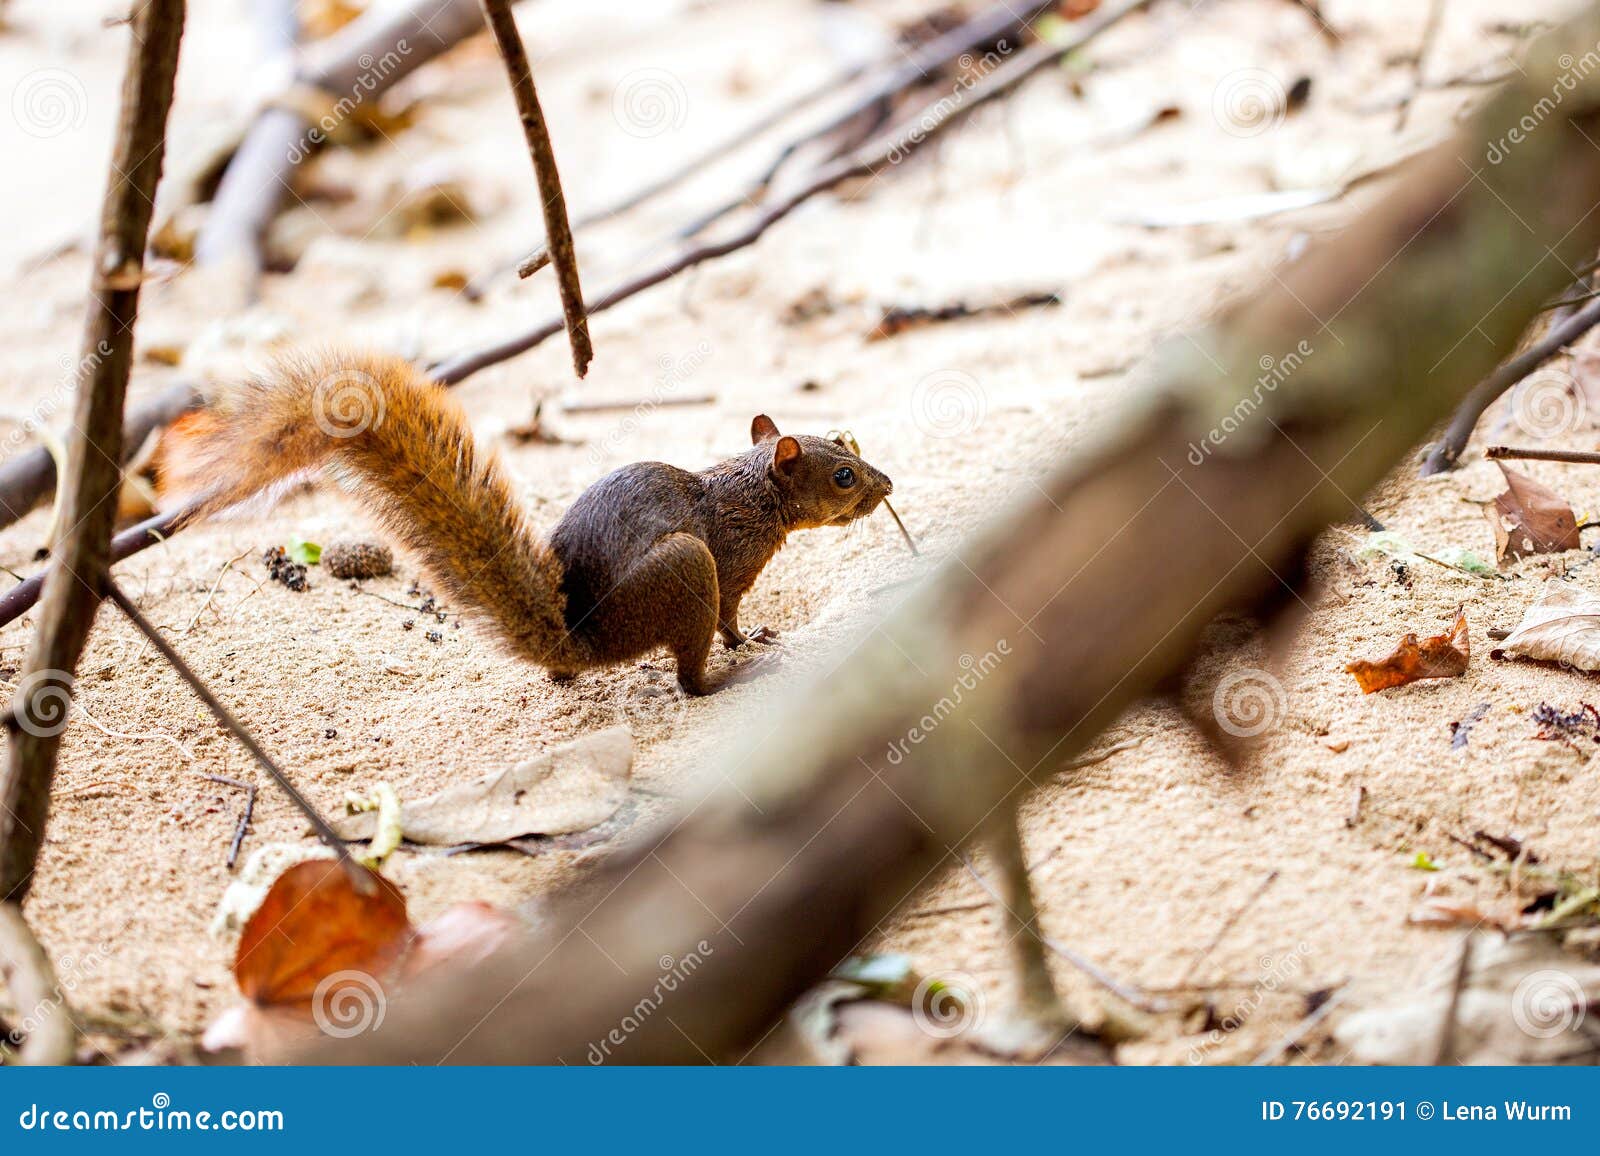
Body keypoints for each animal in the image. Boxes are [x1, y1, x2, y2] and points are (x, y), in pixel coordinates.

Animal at [163, 351, 894, 695]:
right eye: (843, 475)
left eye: (846, 446)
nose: (888, 485)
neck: (747, 491)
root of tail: (584, 644)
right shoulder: (733, 564)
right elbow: (730, 621)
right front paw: (754, 639)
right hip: (686, 566)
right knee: (691, 679)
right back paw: (728, 680)